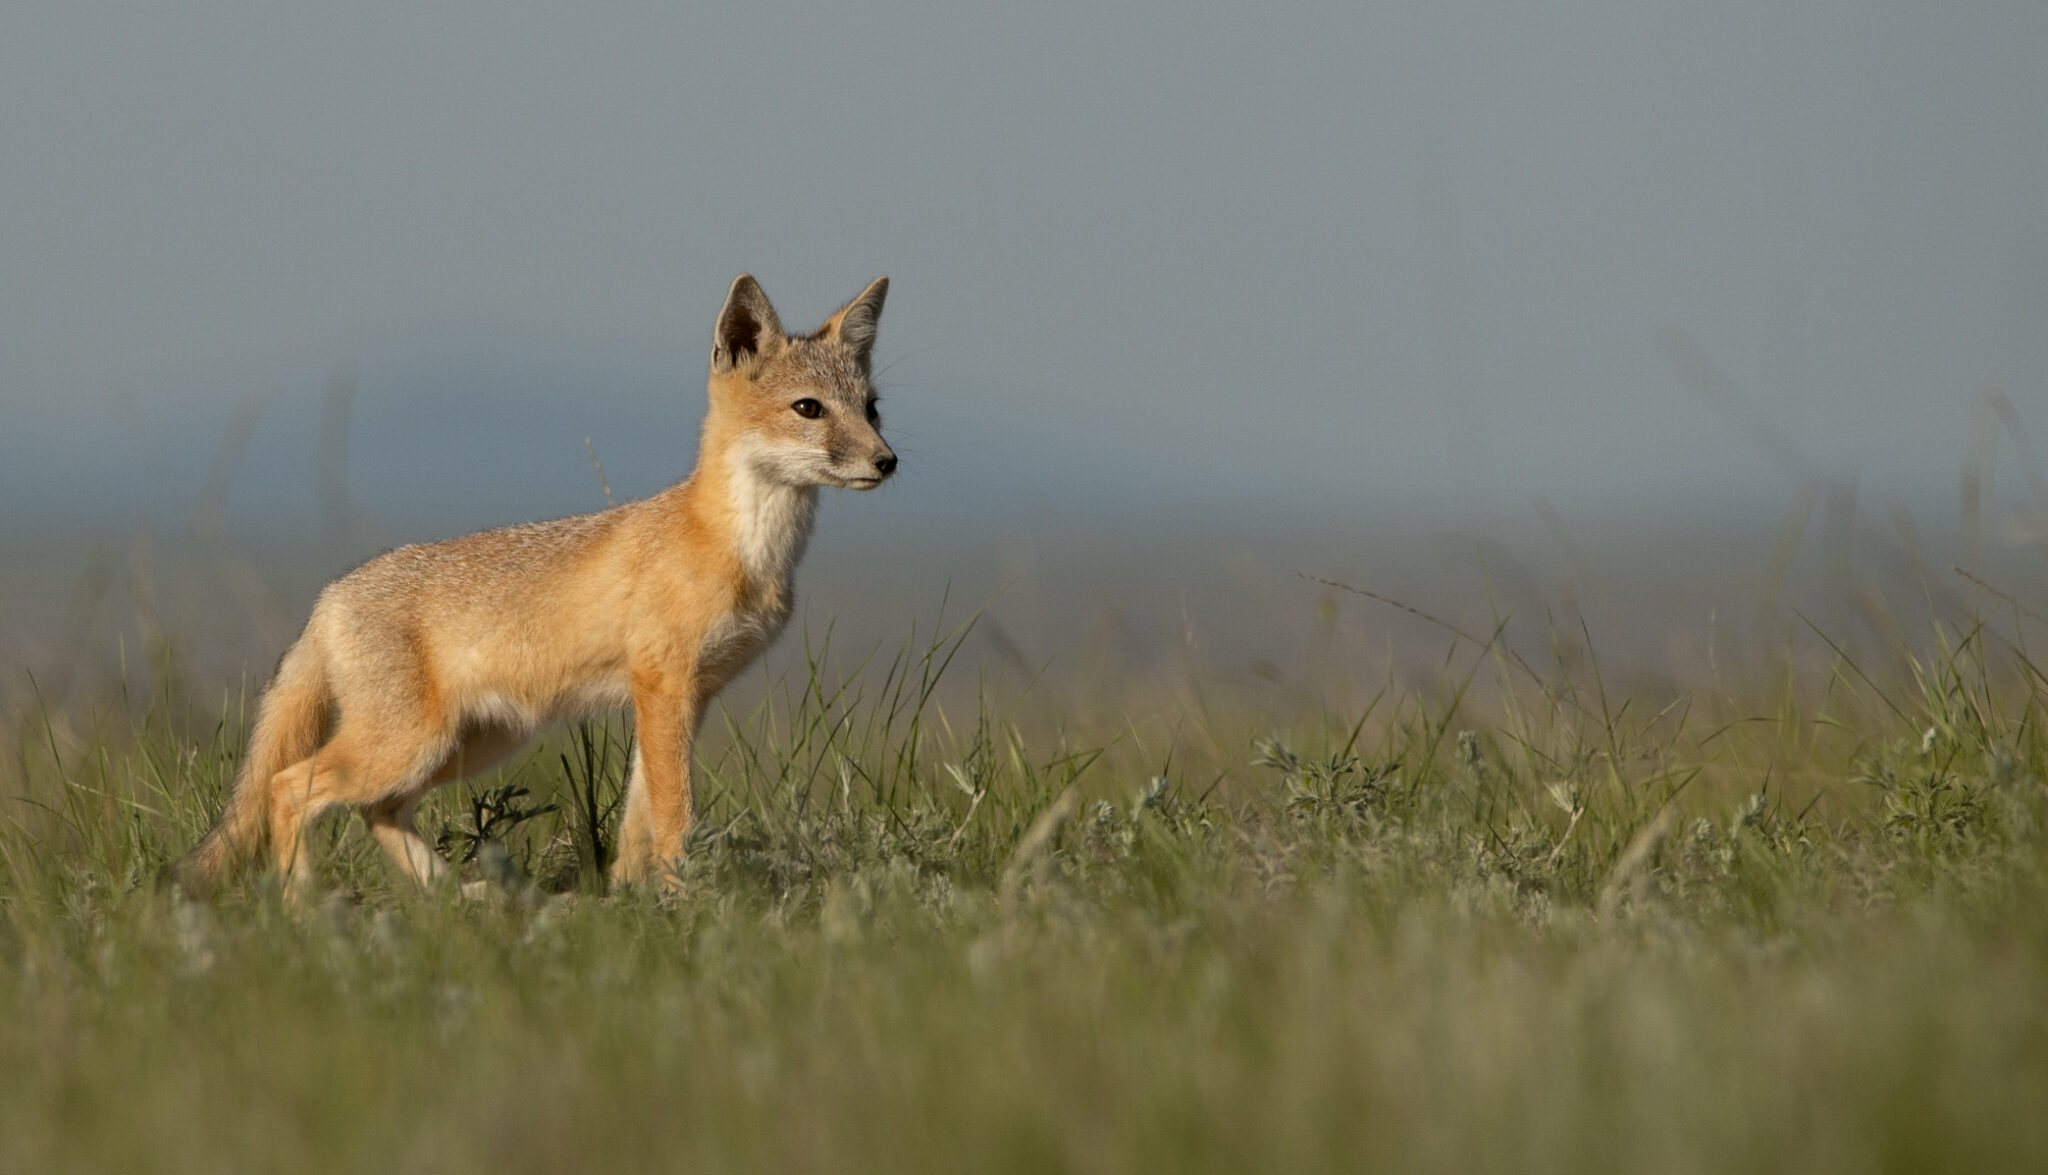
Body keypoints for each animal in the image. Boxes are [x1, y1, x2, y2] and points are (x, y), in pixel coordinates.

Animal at [178, 274, 896, 896]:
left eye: (871, 409)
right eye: (809, 409)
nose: (887, 461)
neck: (741, 549)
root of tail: (329, 596)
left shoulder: (683, 697)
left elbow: (638, 819)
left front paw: (626, 897)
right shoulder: (664, 686)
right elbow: (674, 815)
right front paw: (681, 895)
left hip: (465, 746)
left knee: (377, 812)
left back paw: (460, 896)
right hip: (409, 745)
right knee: (287, 788)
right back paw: (304, 902)